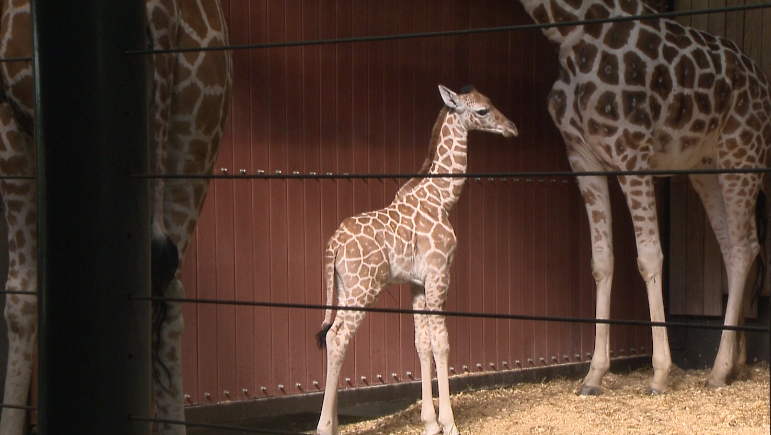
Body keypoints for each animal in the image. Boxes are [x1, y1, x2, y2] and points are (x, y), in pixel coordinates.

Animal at [314, 85, 518, 435]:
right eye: (482, 110)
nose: (512, 128)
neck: (442, 200)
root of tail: (333, 246)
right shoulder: (439, 273)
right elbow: (442, 343)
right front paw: (449, 423)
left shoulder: (416, 284)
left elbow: (422, 344)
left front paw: (430, 422)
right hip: (363, 289)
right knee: (338, 337)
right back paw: (325, 426)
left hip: (343, 289)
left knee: (332, 334)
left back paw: (336, 423)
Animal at [516, 0, 771, 394]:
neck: (569, 31)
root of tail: (763, 82)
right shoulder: (582, 156)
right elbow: (601, 261)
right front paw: (593, 374)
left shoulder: (631, 150)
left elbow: (649, 257)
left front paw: (661, 373)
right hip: (704, 167)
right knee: (735, 248)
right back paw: (733, 365)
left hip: (741, 152)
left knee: (745, 248)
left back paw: (717, 370)